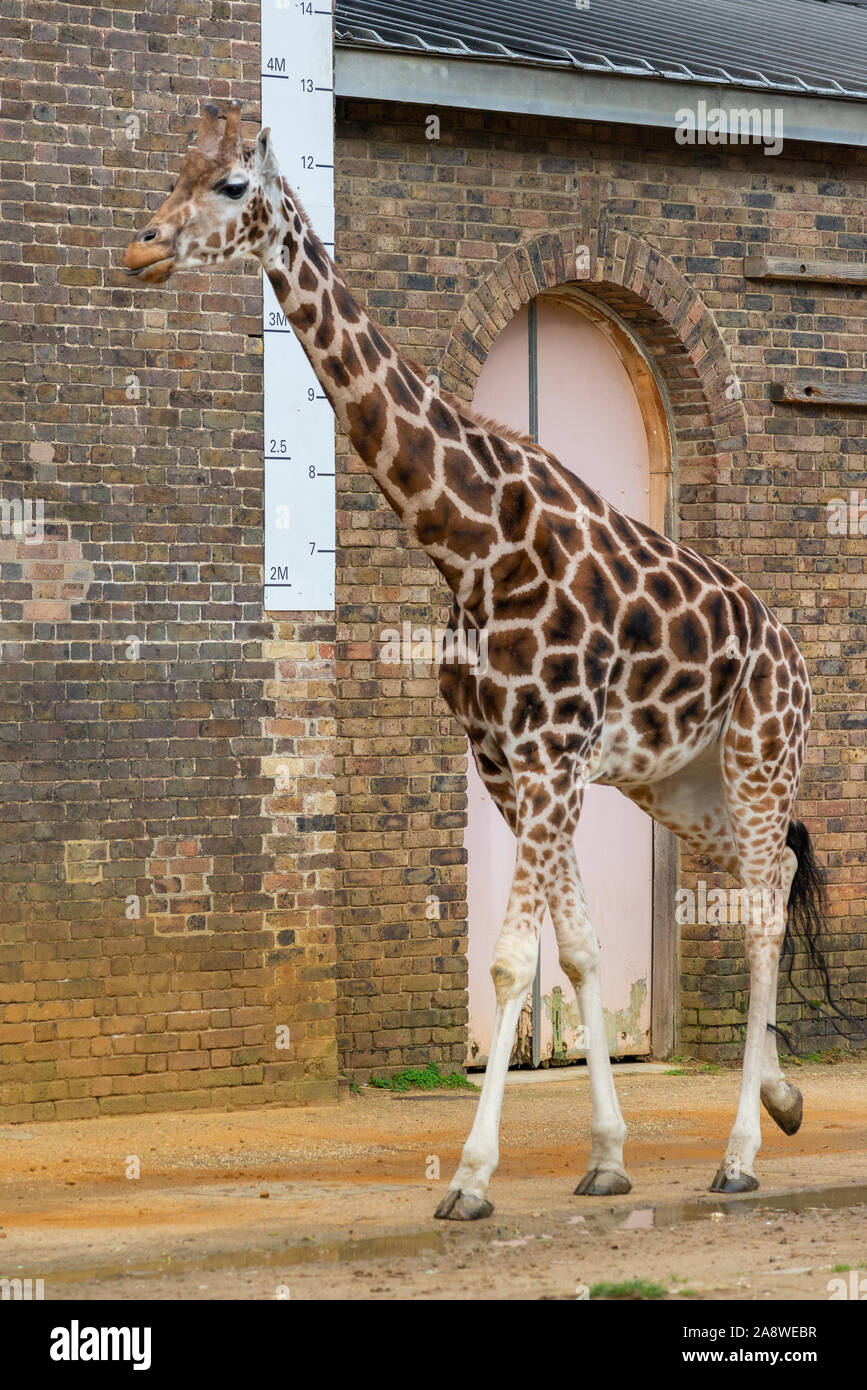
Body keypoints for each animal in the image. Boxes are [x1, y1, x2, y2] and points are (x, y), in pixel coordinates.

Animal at [125, 105, 828, 1217]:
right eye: (174, 172)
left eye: (232, 185)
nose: (142, 247)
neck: (470, 538)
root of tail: (793, 648)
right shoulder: (505, 760)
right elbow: (576, 951)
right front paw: (607, 1156)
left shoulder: (548, 756)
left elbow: (508, 962)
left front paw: (469, 1176)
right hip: (678, 783)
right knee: (783, 869)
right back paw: (786, 1100)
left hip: (760, 756)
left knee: (759, 910)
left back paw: (740, 1154)